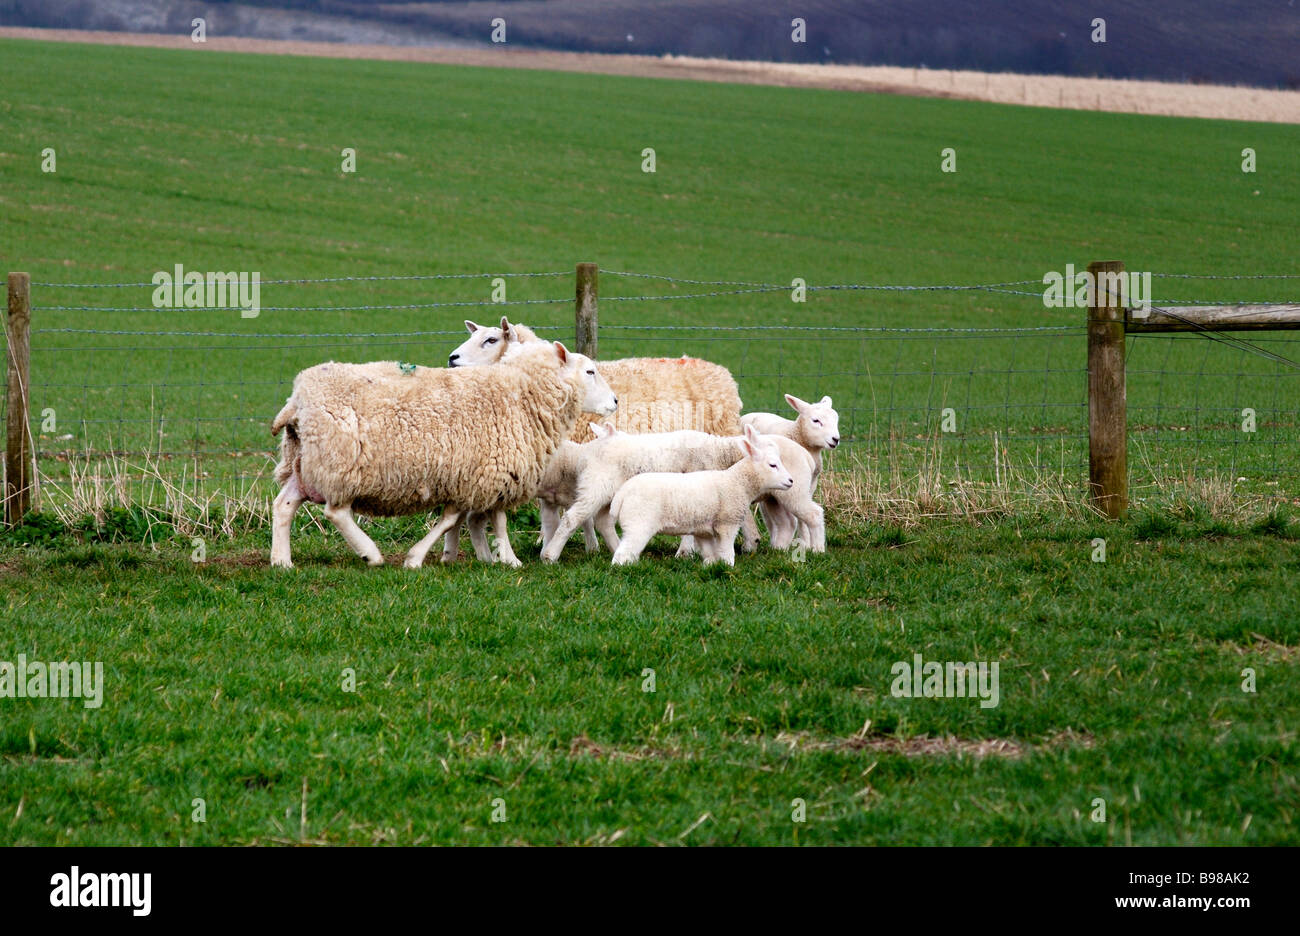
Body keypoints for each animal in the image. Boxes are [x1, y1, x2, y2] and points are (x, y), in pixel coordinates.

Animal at [268, 340, 617, 569]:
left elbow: (480, 519)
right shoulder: (484, 475)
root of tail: (298, 396)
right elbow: (460, 520)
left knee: (284, 505)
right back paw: (371, 554)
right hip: (339, 462)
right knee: (335, 512)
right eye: (590, 371)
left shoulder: (484, 475)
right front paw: (417, 558)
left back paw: (281, 561)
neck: (521, 394)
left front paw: (500, 558)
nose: (614, 401)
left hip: (305, 460)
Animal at [609, 425, 795, 566]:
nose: (791, 480)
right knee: (623, 553)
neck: (737, 481)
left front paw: (711, 565)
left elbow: (709, 552)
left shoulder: (703, 530)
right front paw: (727, 567)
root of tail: (622, 493)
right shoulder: (727, 523)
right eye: (772, 465)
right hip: (639, 524)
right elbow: (726, 550)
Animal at [739, 394, 840, 551]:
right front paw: (805, 543)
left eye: (836, 420)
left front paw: (805, 543)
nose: (835, 439)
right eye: (815, 420)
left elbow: (801, 518)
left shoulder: (810, 485)